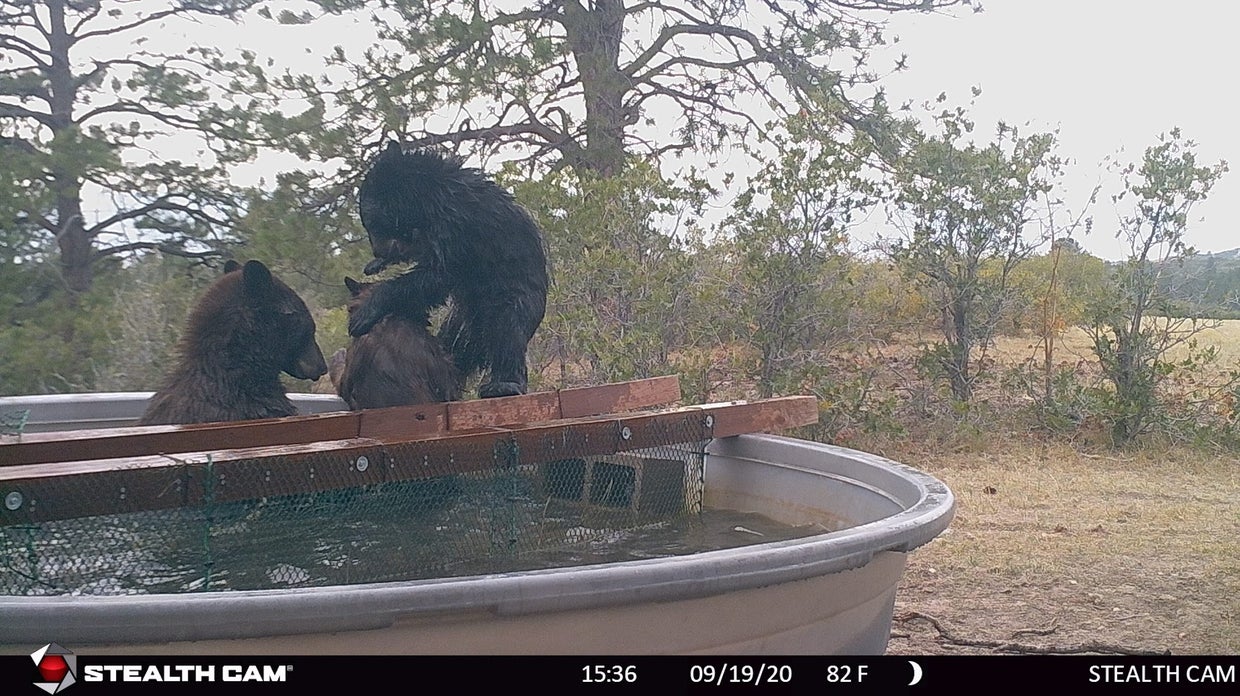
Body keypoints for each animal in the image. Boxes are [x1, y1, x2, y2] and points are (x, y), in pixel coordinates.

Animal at [349, 141, 549, 399]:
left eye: (371, 223)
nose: (376, 252)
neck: (429, 199)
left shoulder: (455, 225)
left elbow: (437, 275)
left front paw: (364, 313)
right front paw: (377, 265)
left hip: (510, 295)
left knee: (507, 331)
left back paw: (503, 384)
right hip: (463, 318)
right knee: (457, 342)